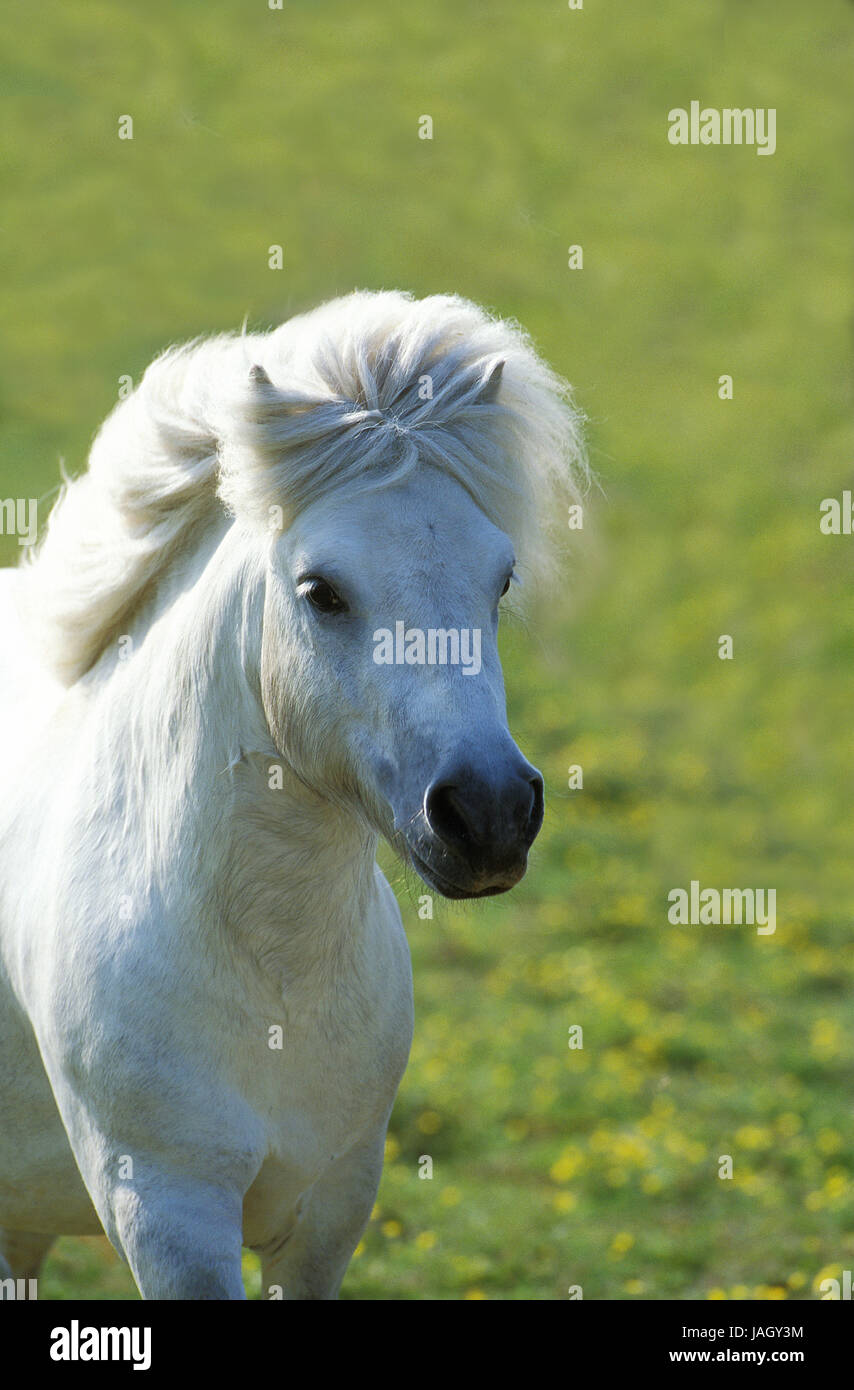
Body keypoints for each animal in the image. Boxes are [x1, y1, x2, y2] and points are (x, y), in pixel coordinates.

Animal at [0, 289, 585, 1299]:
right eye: (321, 591)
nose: (490, 815)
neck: (276, 978)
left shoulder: (331, 1206)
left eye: (501, 581)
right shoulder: (170, 1210)